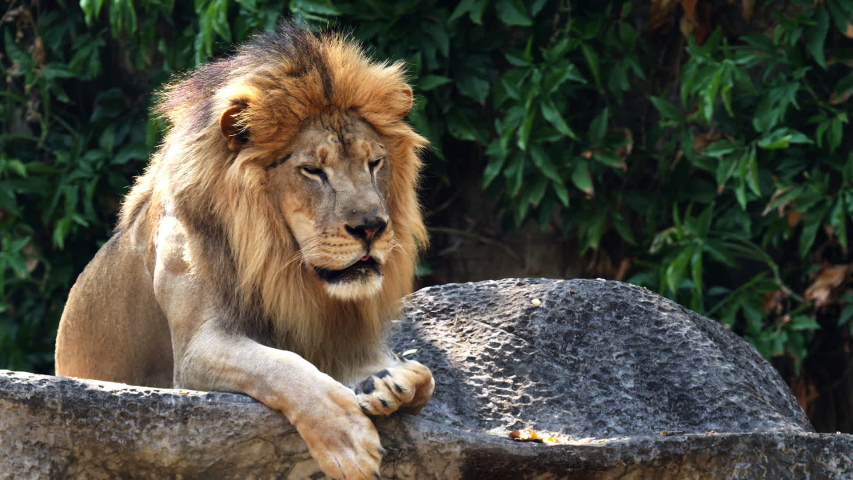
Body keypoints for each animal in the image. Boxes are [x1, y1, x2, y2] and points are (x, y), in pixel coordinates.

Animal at [54, 22, 434, 480]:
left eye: (374, 163)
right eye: (313, 170)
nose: (372, 228)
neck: (282, 265)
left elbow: (424, 375)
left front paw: (387, 381)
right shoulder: (196, 351)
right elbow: (282, 365)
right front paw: (348, 442)